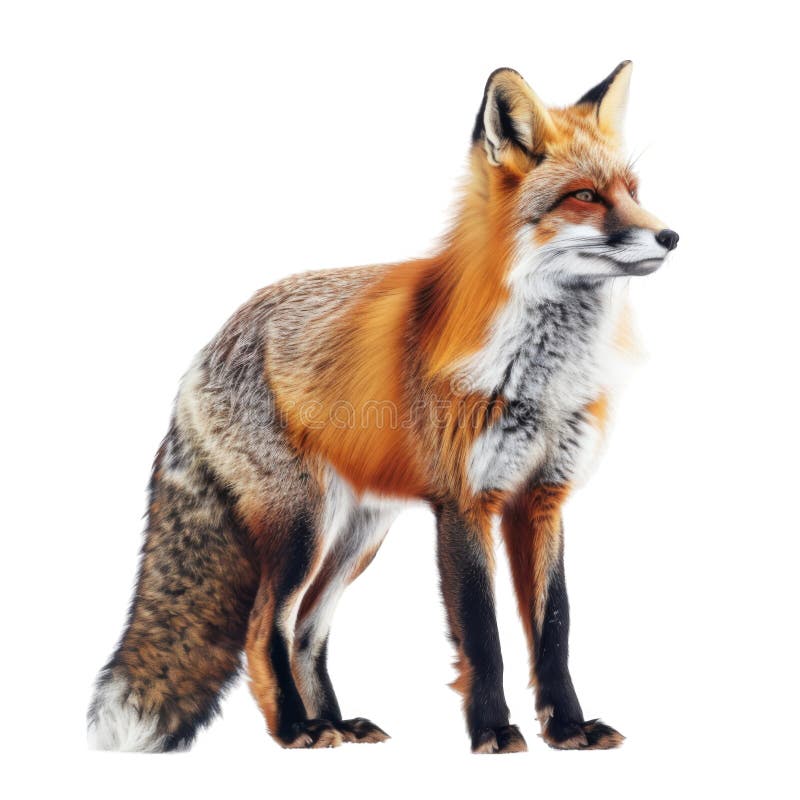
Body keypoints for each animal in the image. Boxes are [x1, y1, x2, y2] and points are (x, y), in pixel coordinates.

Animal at [88, 61, 678, 754]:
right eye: (585, 196)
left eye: (633, 190)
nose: (671, 235)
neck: (541, 376)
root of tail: (211, 344)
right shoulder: (463, 502)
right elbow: (484, 636)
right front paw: (493, 731)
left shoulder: (542, 497)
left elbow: (553, 628)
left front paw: (568, 728)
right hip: (303, 526)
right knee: (265, 628)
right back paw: (297, 728)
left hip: (358, 535)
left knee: (307, 629)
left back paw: (336, 722)